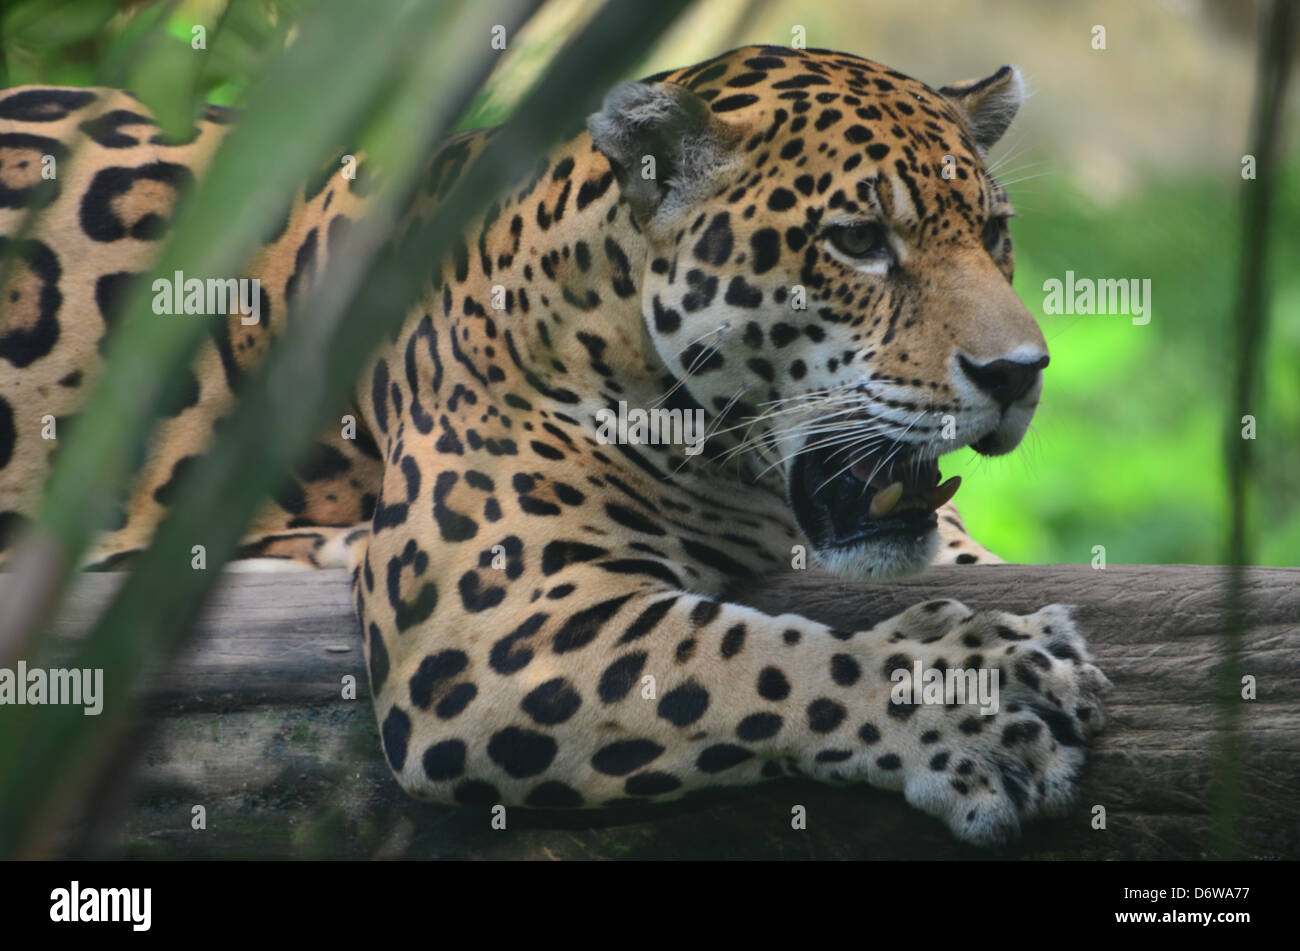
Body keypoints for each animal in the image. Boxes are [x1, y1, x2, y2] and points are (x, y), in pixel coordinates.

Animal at [0, 45, 1109, 845]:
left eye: (995, 234)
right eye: (857, 241)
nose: (1020, 373)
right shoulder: (478, 633)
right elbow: (761, 661)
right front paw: (978, 692)